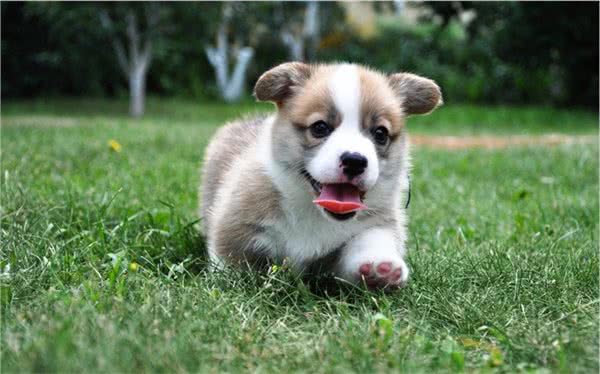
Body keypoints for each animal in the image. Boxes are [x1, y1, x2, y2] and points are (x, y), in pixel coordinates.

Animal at [202, 62, 440, 288]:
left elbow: (370, 241)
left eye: (380, 133)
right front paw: (231, 279)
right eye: (320, 127)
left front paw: (381, 269)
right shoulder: (236, 221)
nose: (354, 161)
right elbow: (230, 255)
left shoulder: (376, 223)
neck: (314, 211)